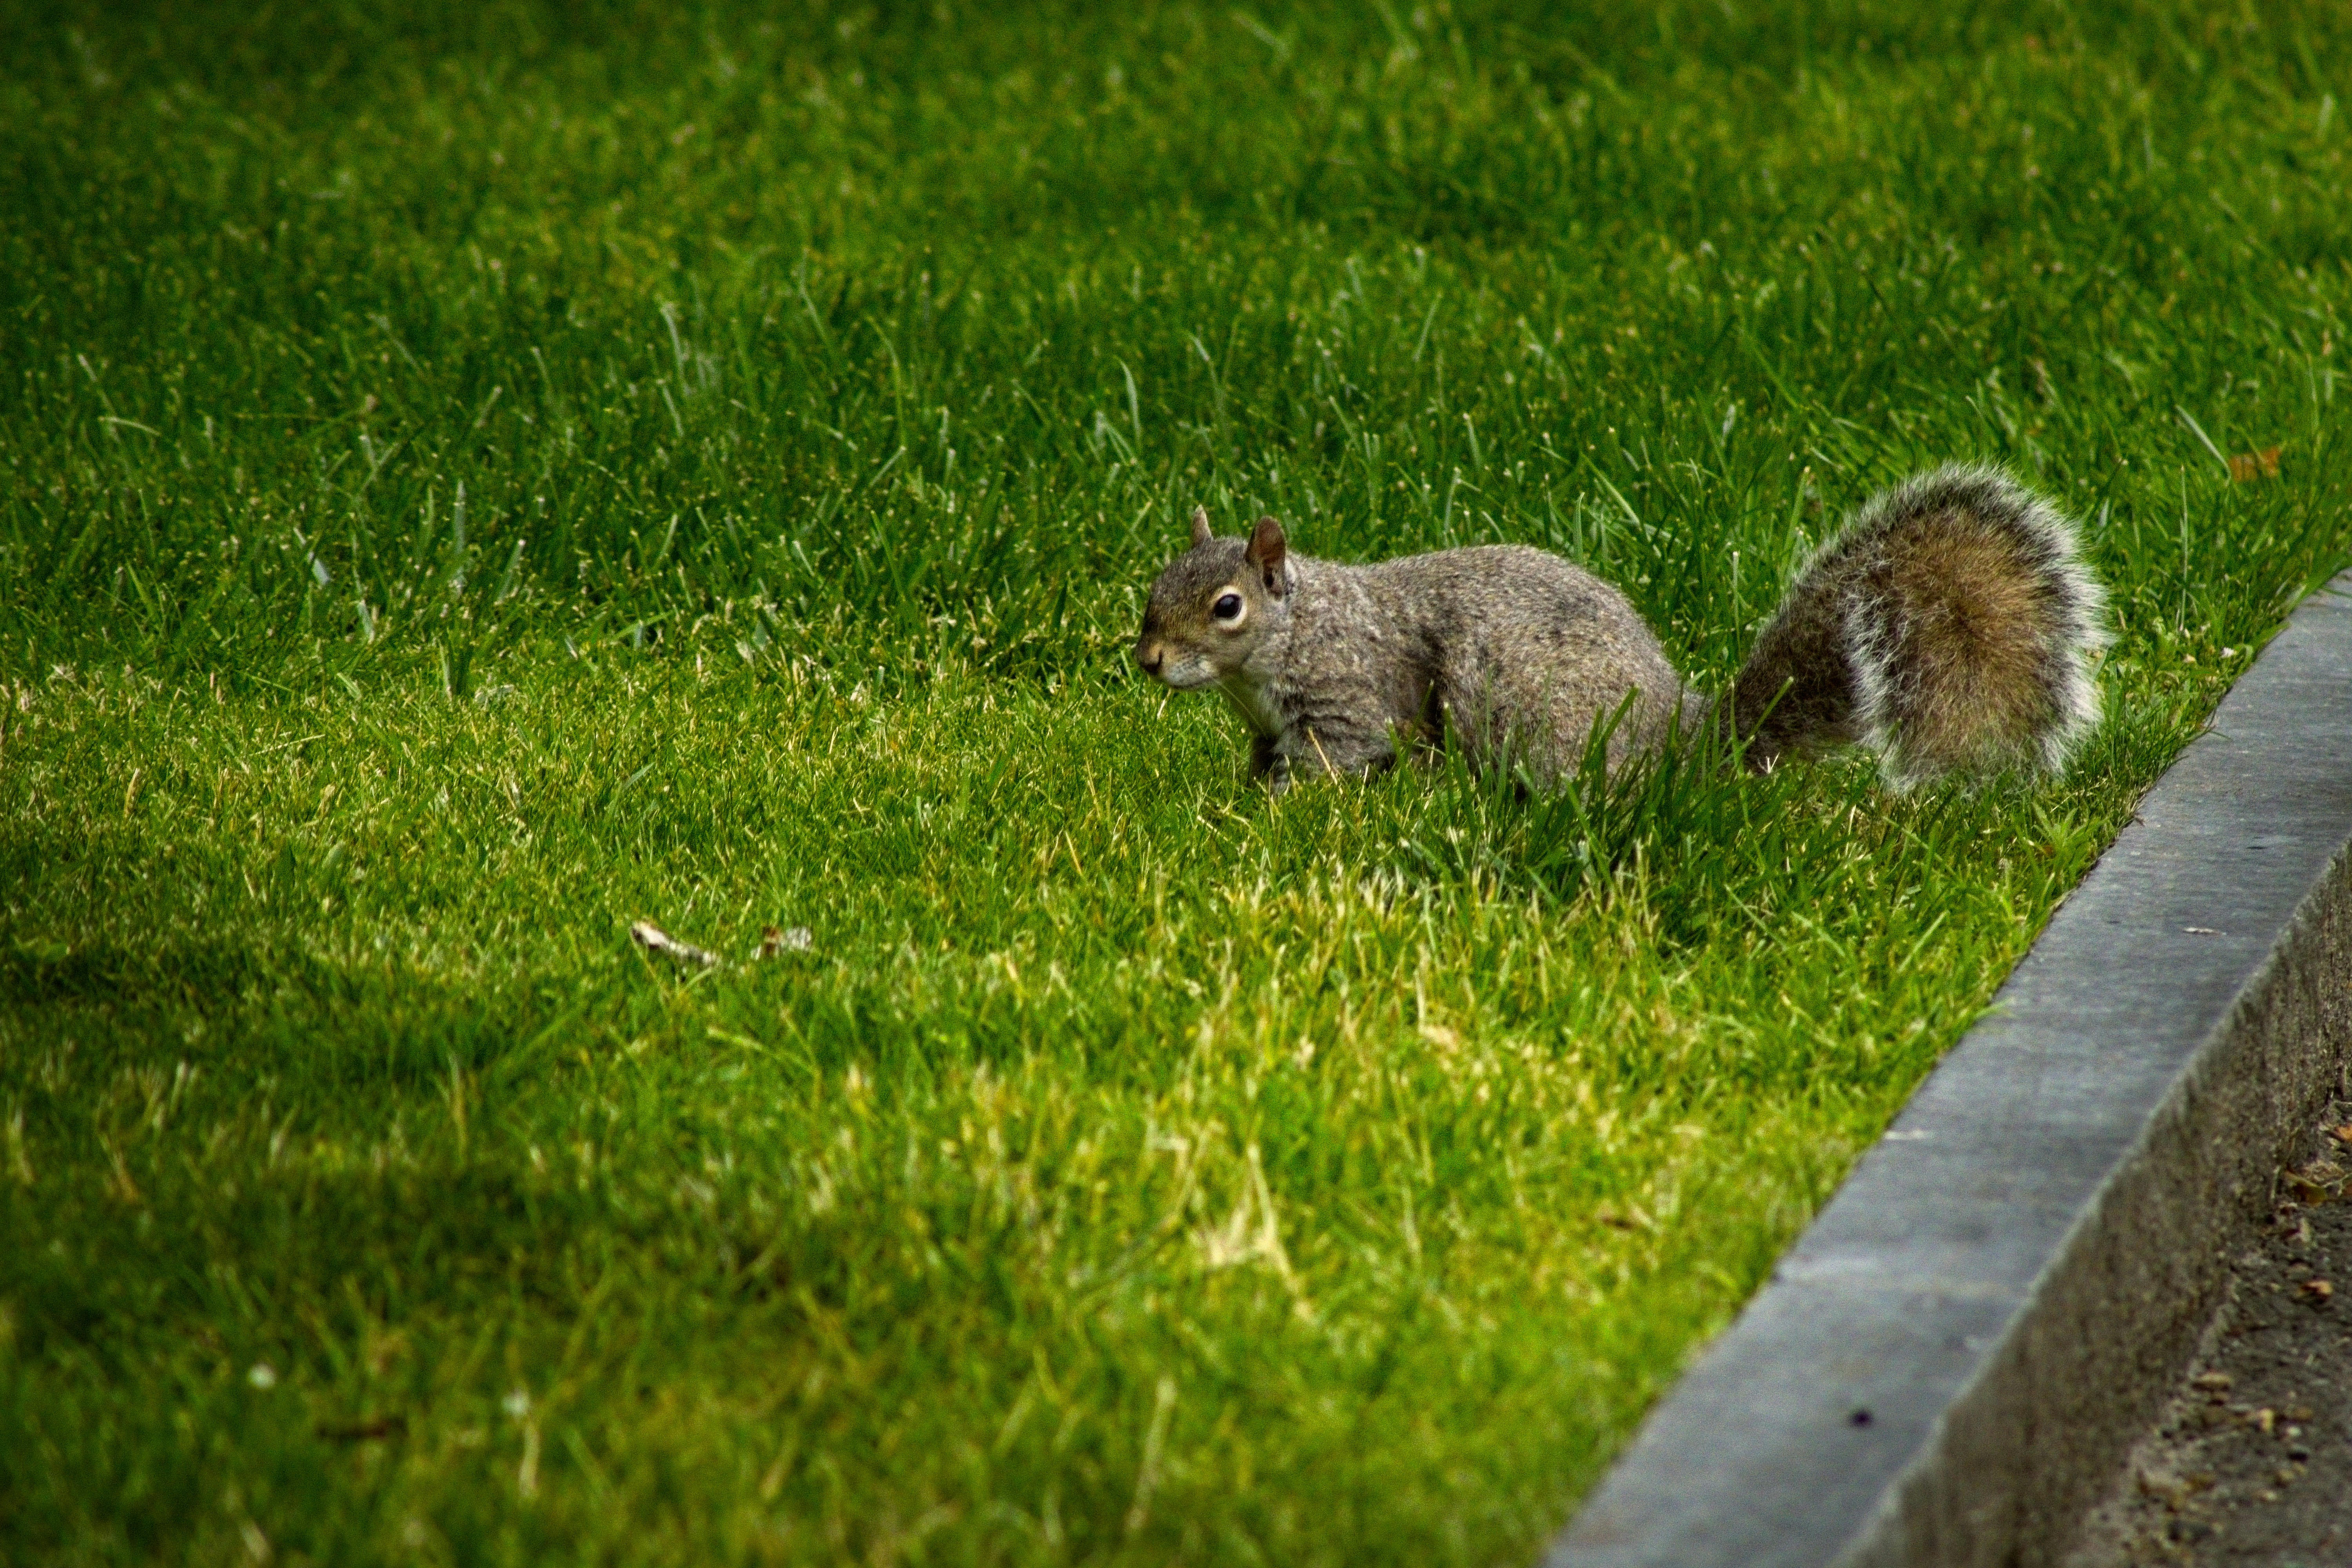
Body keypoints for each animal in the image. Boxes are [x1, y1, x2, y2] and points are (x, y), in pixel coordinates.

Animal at [1133, 464, 2107, 792]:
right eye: (1153, 586)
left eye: (1227, 606)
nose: (1146, 660)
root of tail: (1684, 735)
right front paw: (1246, 796)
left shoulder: (1350, 695)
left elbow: (1338, 758)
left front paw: (1283, 811)